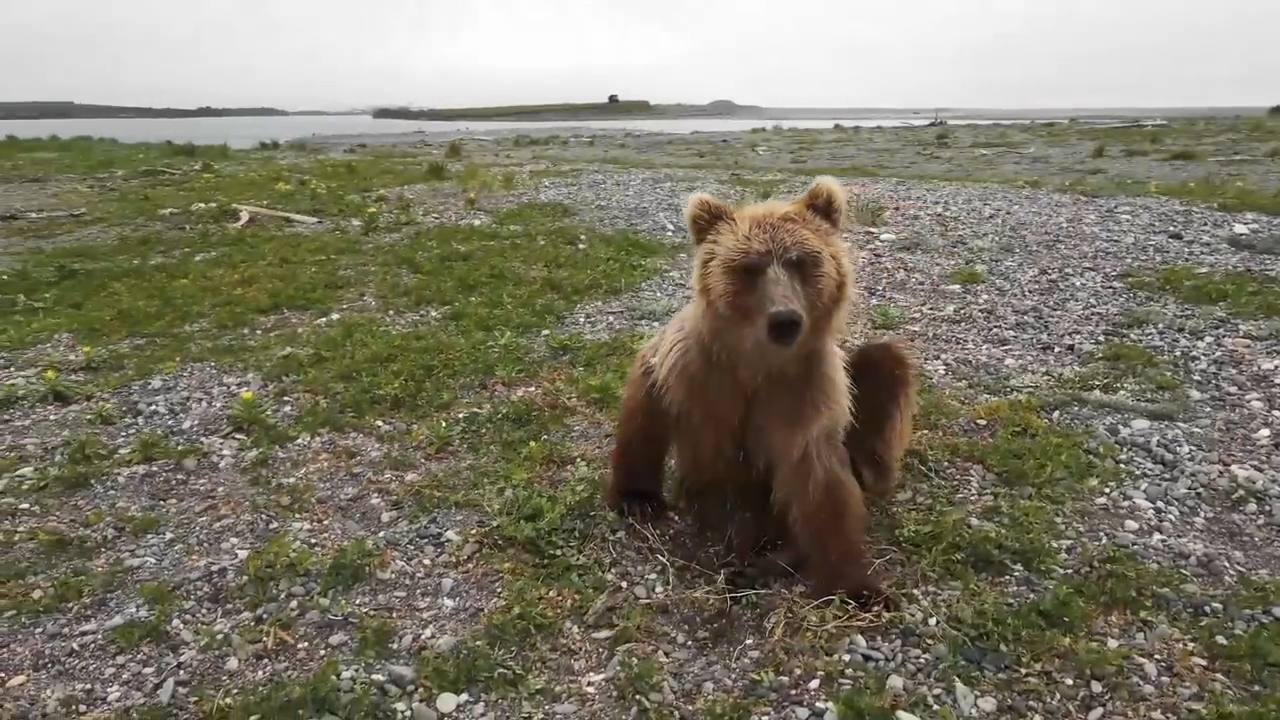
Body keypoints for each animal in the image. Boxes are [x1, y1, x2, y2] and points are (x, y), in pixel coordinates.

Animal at [603, 175, 917, 604]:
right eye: (749, 267)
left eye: (801, 261)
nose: (784, 319)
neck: (758, 361)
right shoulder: (692, 366)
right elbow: (648, 405)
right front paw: (637, 498)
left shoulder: (801, 390)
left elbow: (818, 480)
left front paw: (857, 585)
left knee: (884, 365)